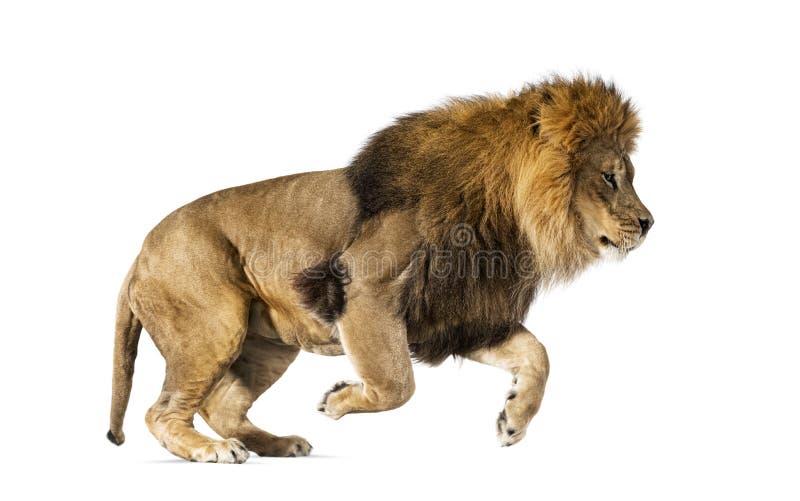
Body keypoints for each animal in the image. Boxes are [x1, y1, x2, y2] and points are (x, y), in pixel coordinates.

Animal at [107, 76, 653, 463]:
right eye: (610, 177)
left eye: (627, 175)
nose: (650, 223)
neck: (506, 218)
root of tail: (138, 254)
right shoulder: (365, 289)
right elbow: (397, 384)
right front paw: (339, 400)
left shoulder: (461, 314)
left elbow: (538, 355)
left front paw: (514, 420)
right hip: (212, 326)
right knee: (163, 411)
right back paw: (211, 451)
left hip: (268, 343)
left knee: (219, 405)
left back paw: (277, 444)